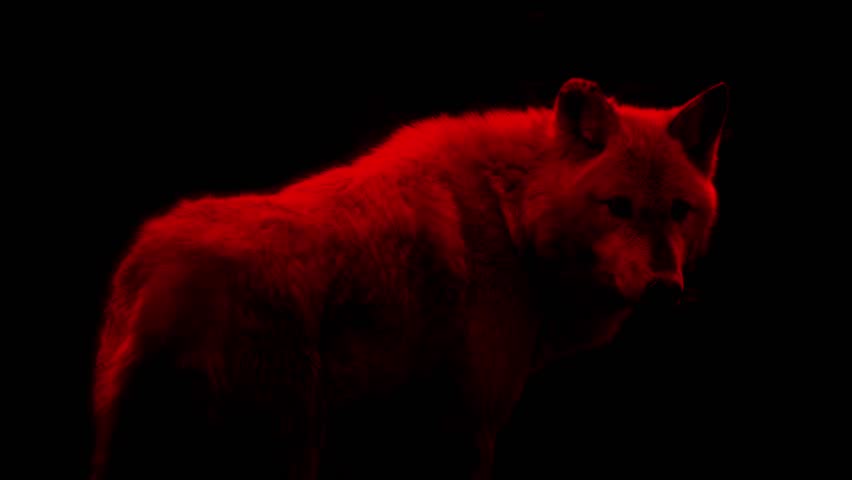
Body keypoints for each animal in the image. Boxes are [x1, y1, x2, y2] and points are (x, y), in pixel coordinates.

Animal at [91, 78, 728, 479]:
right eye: (618, 207)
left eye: (679, 210)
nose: (664, 288)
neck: (513, 220)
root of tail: (160, 278)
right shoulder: (467, 427)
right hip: (290, 447)